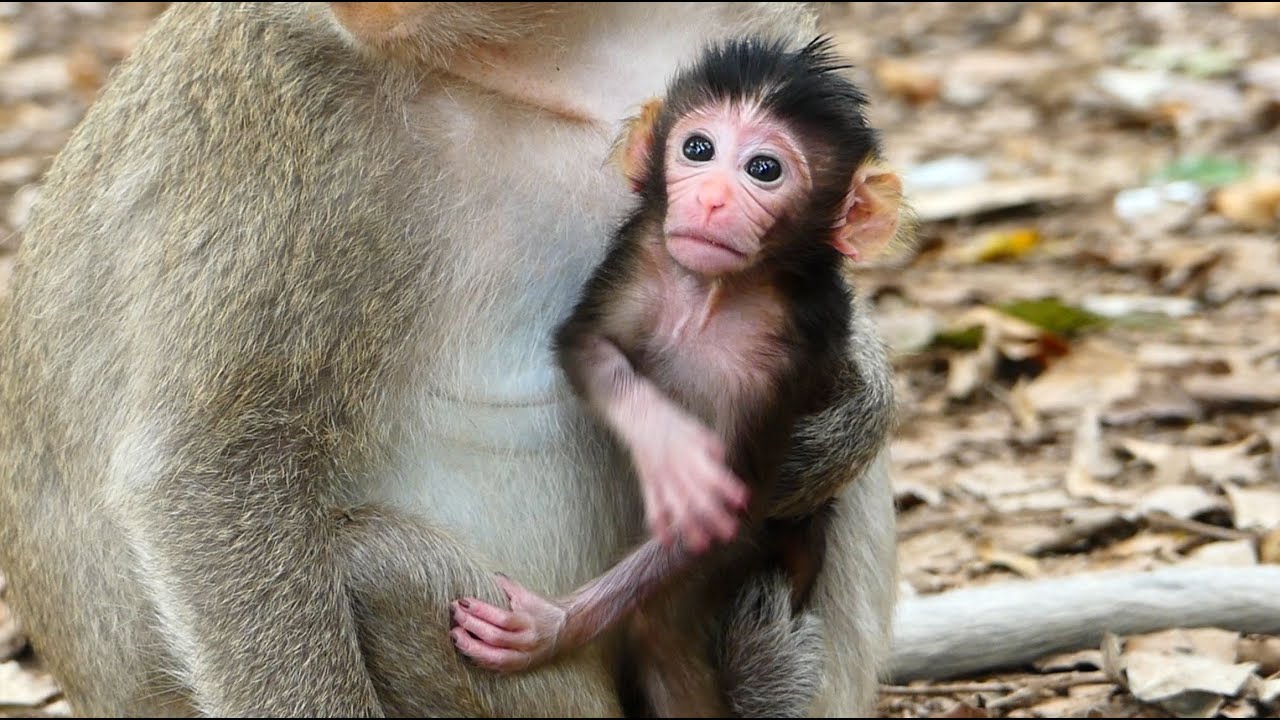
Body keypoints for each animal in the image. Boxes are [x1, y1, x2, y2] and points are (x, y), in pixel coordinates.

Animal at [447, 37, 903, 717]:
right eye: (698, 150)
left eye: (764, 169)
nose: (711, 198)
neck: (710, 297)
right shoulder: (642, 256)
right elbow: (586, 343)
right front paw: (671, 451)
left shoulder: (792, 348)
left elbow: (726, 513)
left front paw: (555, 628)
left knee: (662, 627)